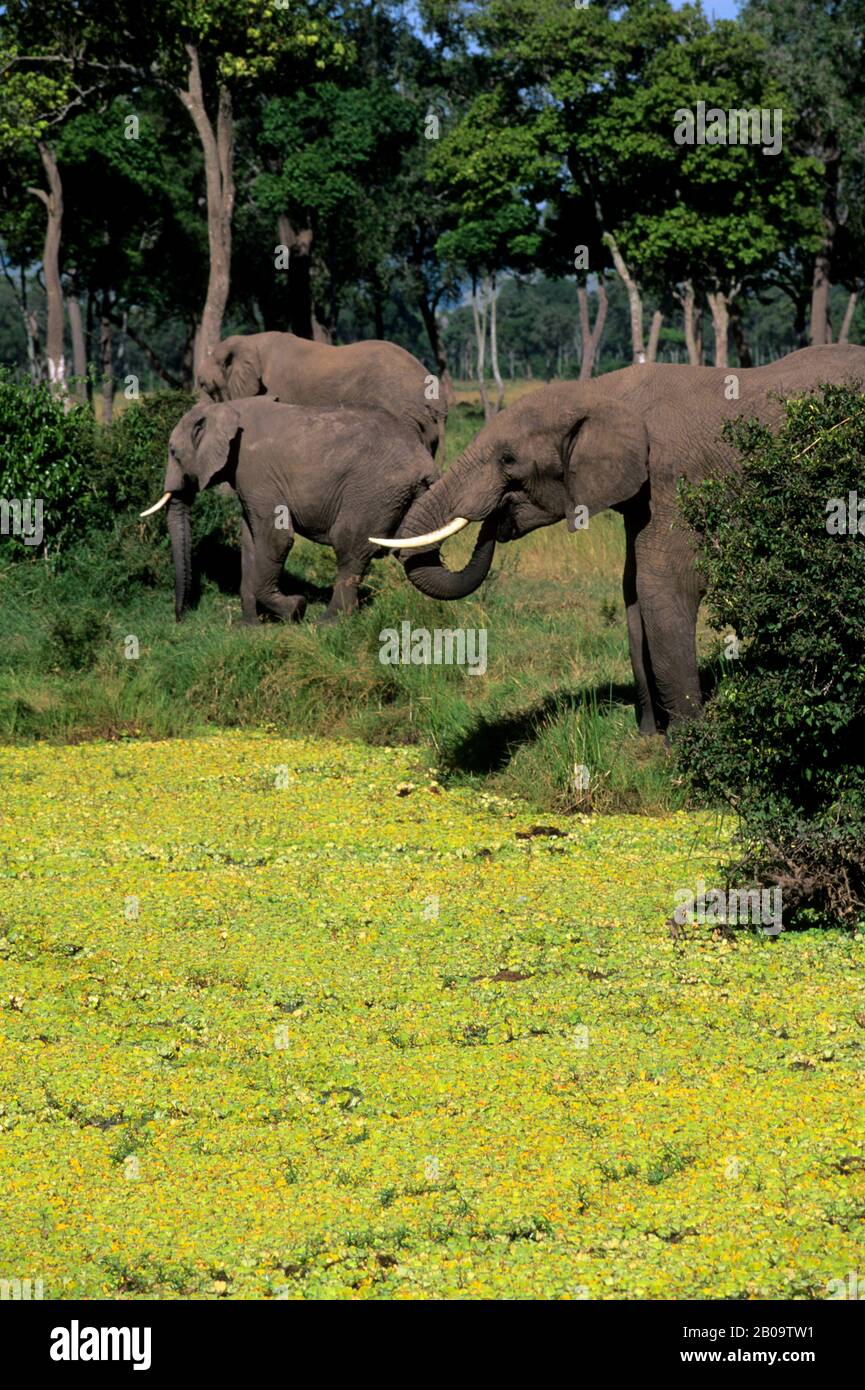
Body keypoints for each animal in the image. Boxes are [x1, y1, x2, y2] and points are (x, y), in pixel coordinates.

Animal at [140, 397, 440, 624]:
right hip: (406, 496)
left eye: (173, 452)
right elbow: (250, 540)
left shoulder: (256, 471)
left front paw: (296, 608)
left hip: (372, 492)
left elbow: (276, 538)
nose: (180, 618)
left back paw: (328, 623)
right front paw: (249, 626)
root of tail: (424, 461)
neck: (223, 407)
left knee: (349, 545)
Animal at [370, 345, 865, 732]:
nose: (495, 518)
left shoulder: (674, 476)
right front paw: (649, 734)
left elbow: (663, 587)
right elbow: (632, 592)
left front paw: (688, 749)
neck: (603, 391)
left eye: (509, 460)